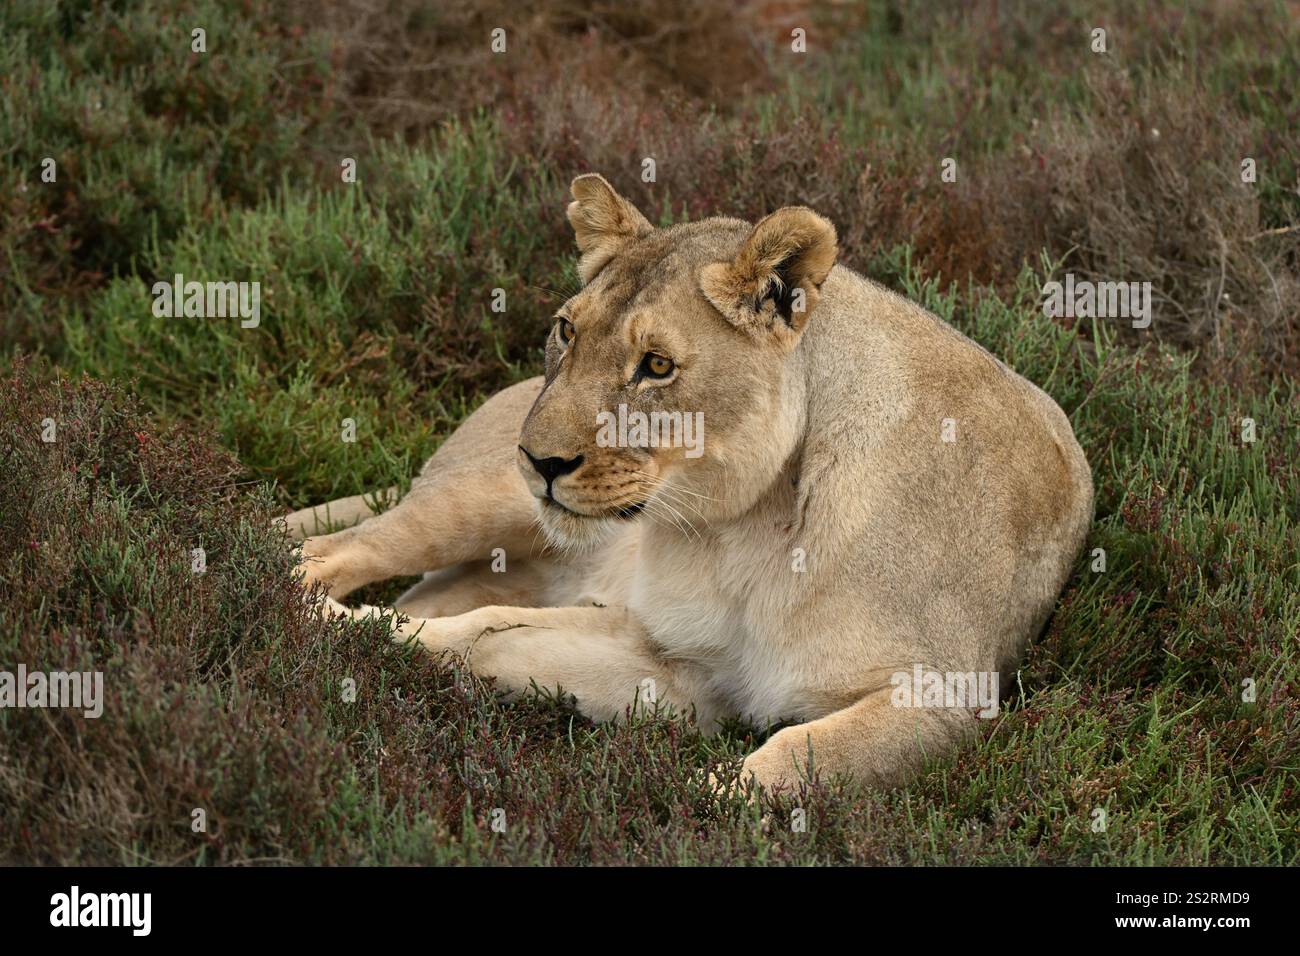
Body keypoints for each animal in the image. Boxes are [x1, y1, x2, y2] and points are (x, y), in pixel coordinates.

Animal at [284, 174, 1094, 792]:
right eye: (566, 331)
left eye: (657, 366)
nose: (539, 461)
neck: (737, 532)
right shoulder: (674, 654)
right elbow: (483, 633)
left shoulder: (944, 696)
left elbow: (789, 759)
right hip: (477, 502)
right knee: (327, 555)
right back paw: (282, 601)